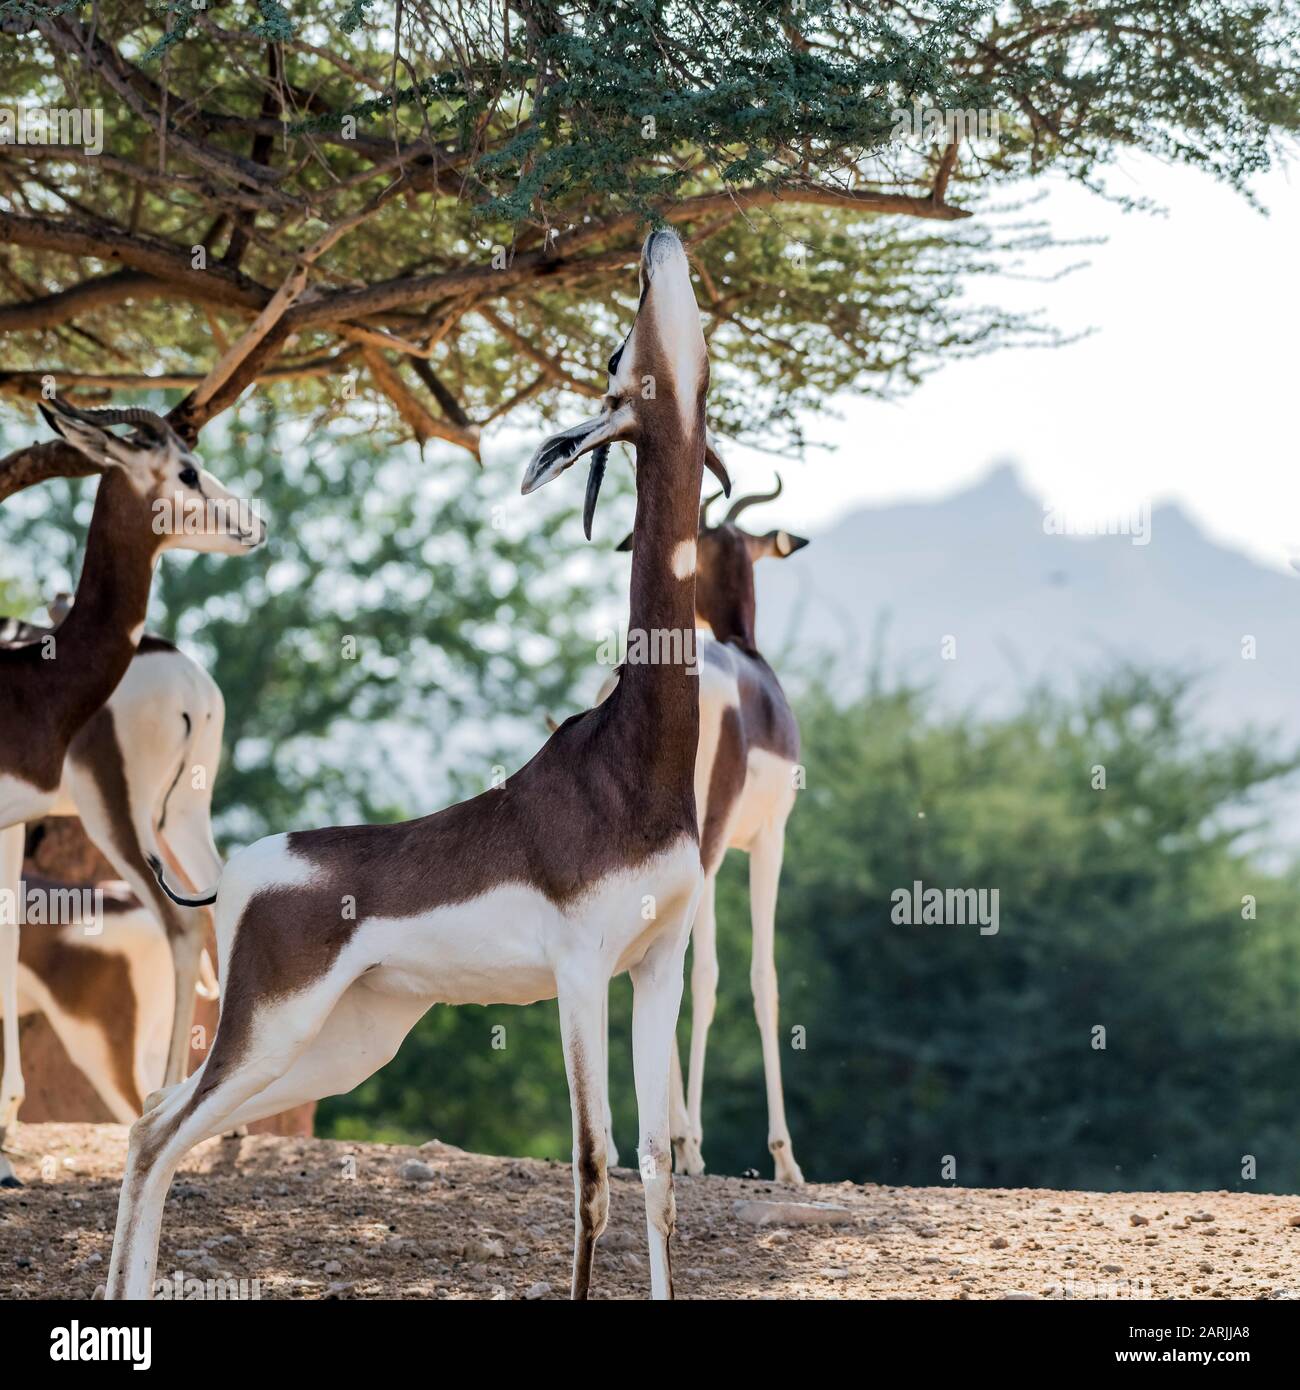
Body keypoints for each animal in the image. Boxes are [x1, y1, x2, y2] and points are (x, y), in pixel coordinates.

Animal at [0, 398, 264, 1186]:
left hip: (121, 816)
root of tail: (193, 686)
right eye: (184, 469)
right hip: (173, 818)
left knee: (182, 924)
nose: (254, 522)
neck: (28, 678)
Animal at [107, 227, 728, 1301]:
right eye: (619, 351)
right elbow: (591, 1172)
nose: (658, 241)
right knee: (154, 1136)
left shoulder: (659, 961)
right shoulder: (580, 971)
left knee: (156, 1123)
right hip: (271, 1030)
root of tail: (238, 874)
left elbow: (656, 1171)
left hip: (334, 1046)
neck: (633, 762)